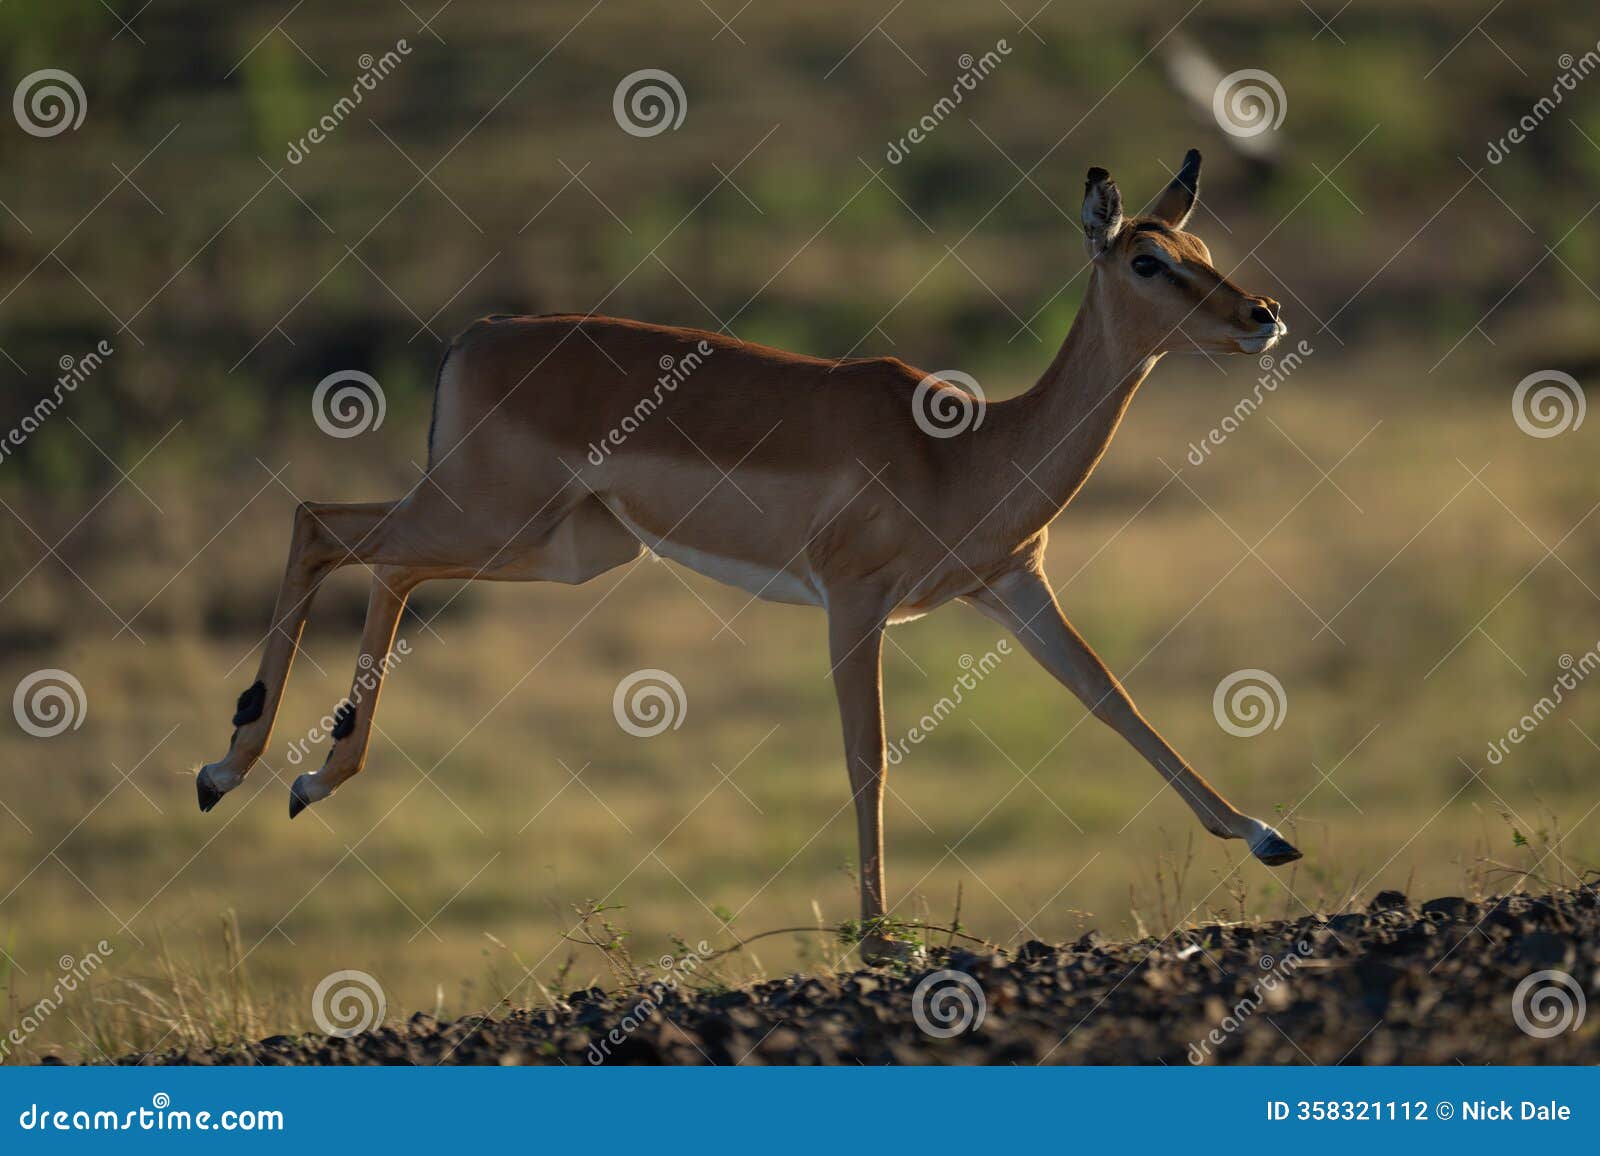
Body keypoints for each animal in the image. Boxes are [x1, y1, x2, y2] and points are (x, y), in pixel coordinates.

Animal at [194, 149, 1299, 962]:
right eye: (1145, 260)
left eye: (1200, 241)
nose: (1262, 315)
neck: (969, 451)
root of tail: (477, 334)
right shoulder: (854, 600)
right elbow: (869, 757)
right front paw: (879, 941)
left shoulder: (1009, 585)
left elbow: (1113, 695)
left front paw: (1266, 834)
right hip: (489, 517)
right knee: (321, 525)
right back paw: (230, 769)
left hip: (559, 546)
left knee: (379, 562)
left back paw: (305, 777)